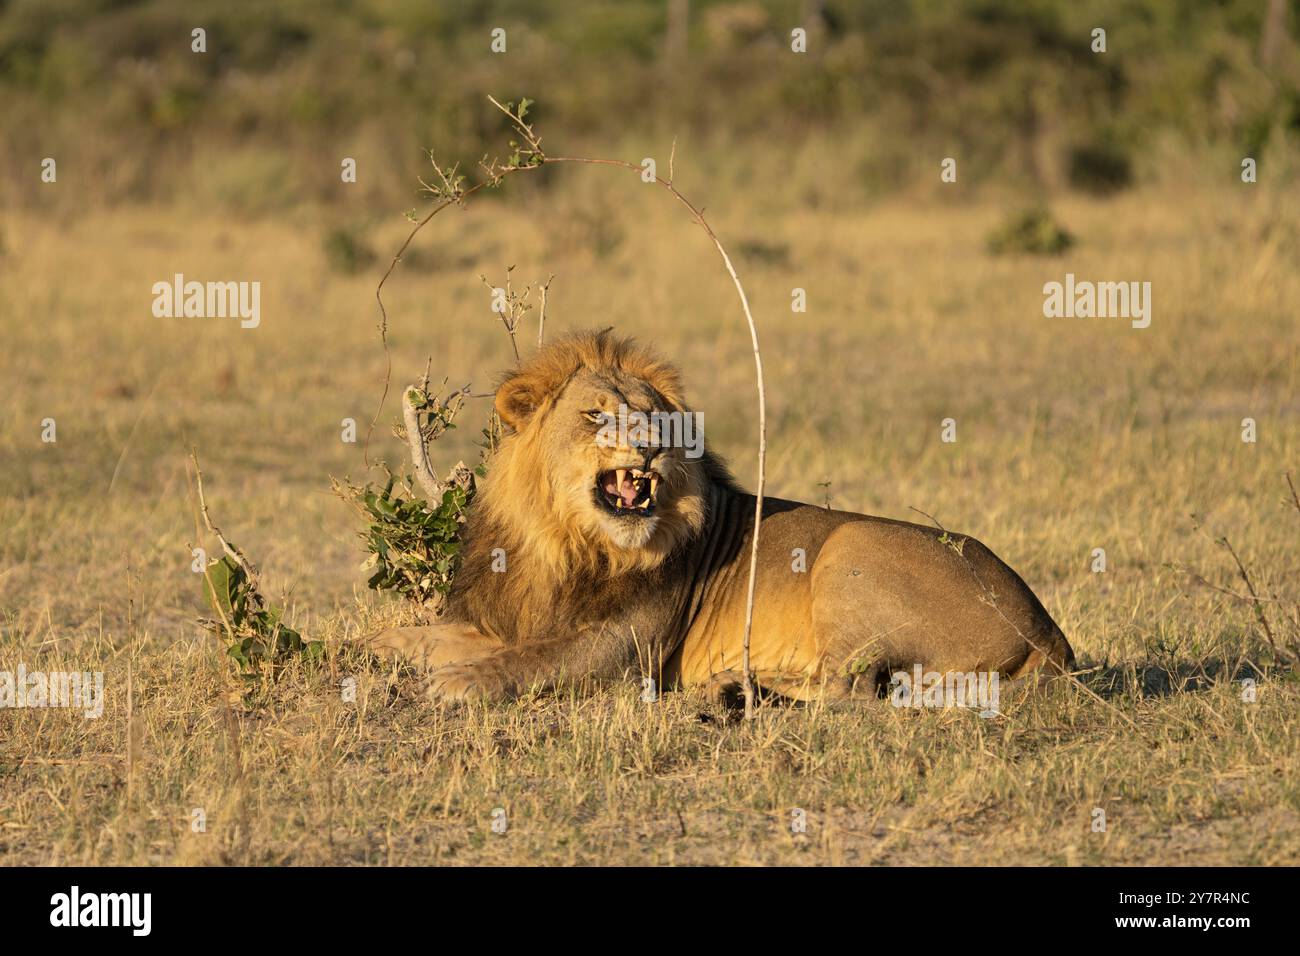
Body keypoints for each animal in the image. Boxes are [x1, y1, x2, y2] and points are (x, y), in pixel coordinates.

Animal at [366, 329, 1075, 704]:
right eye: (596, 413)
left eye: (656, 415)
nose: (652, 442)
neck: (567, 542)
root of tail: (1050, 637)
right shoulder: (506, 619)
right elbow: (422, 636)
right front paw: (370, 652)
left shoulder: (626, 648)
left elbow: (526, 663)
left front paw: (451, 682)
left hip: (850, 547)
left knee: (851, 691)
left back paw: (733, 686)